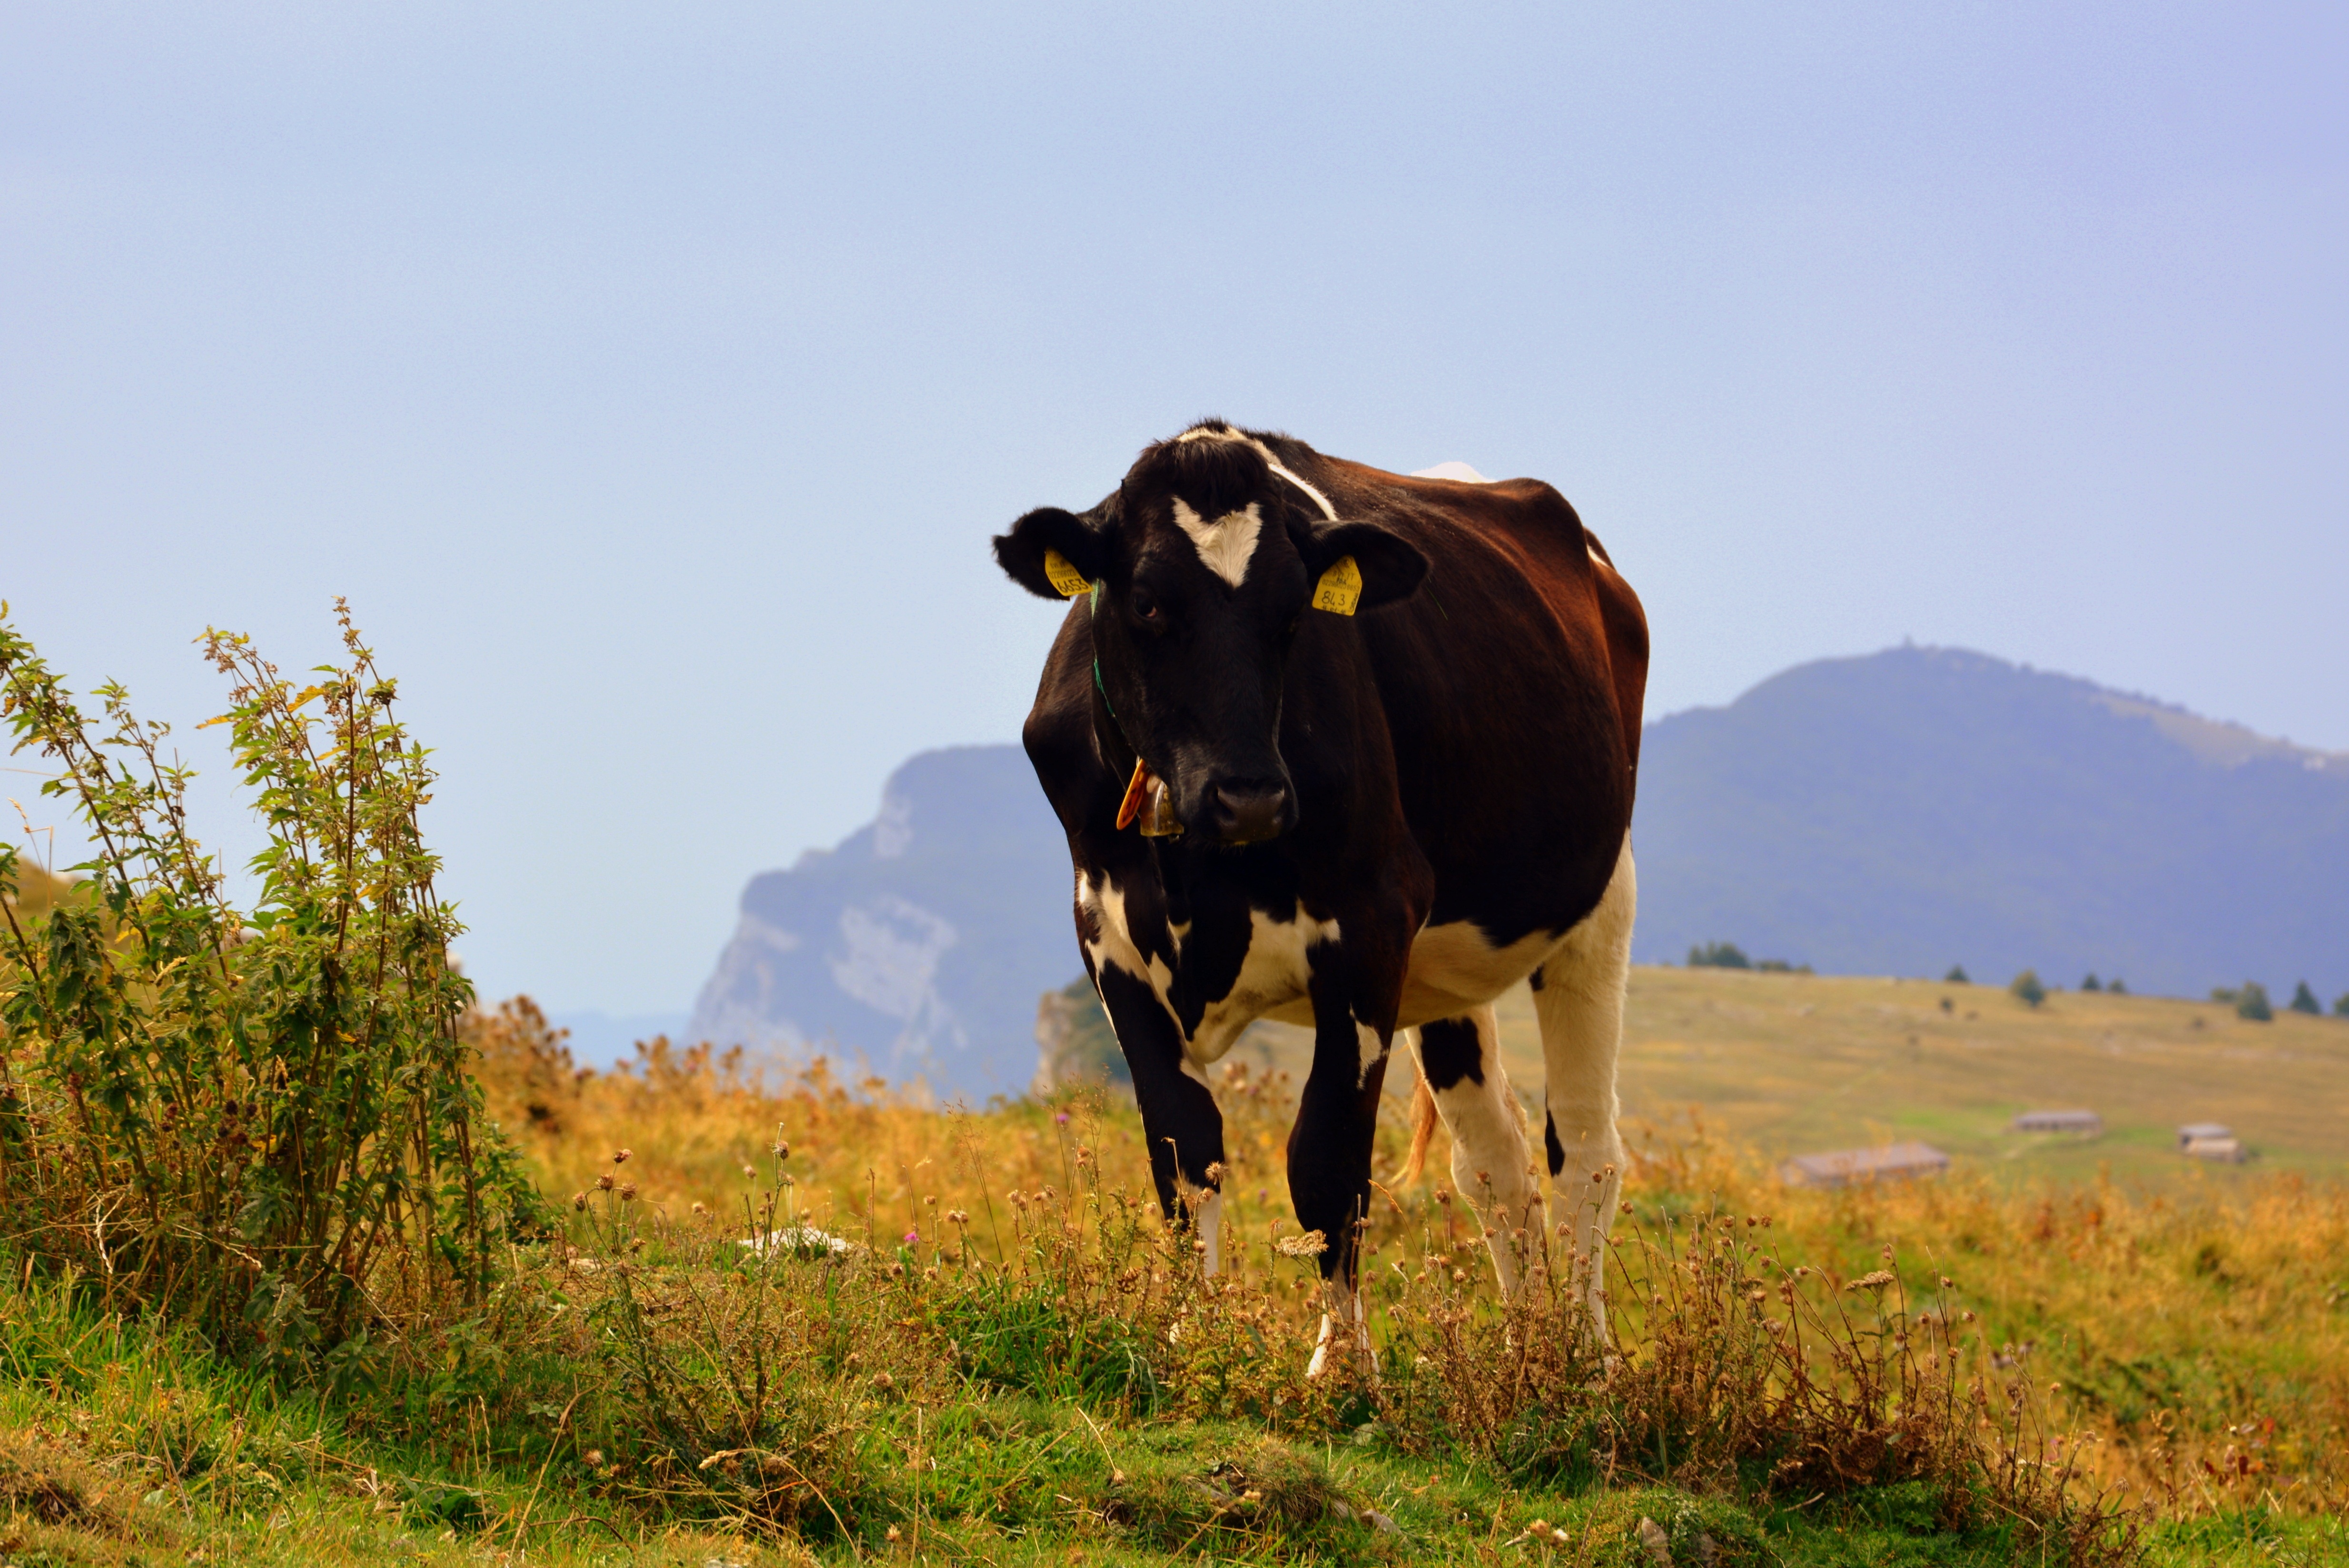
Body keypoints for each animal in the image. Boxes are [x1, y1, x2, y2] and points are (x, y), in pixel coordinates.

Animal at [992, 421, 1647, 1371]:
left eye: (1294, 611)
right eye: (1147, 602)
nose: (1251, 797)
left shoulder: (1369, 925)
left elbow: (1326, 1163)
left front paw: (1341, 1367)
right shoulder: (1106, 934)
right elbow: (1184, 1153)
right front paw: (1191, 1340)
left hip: (1597, 908)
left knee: (1586, 1149)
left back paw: (1588, 1364)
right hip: (1446, 977)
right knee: (1496, 1161)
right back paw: (1530, 1355)